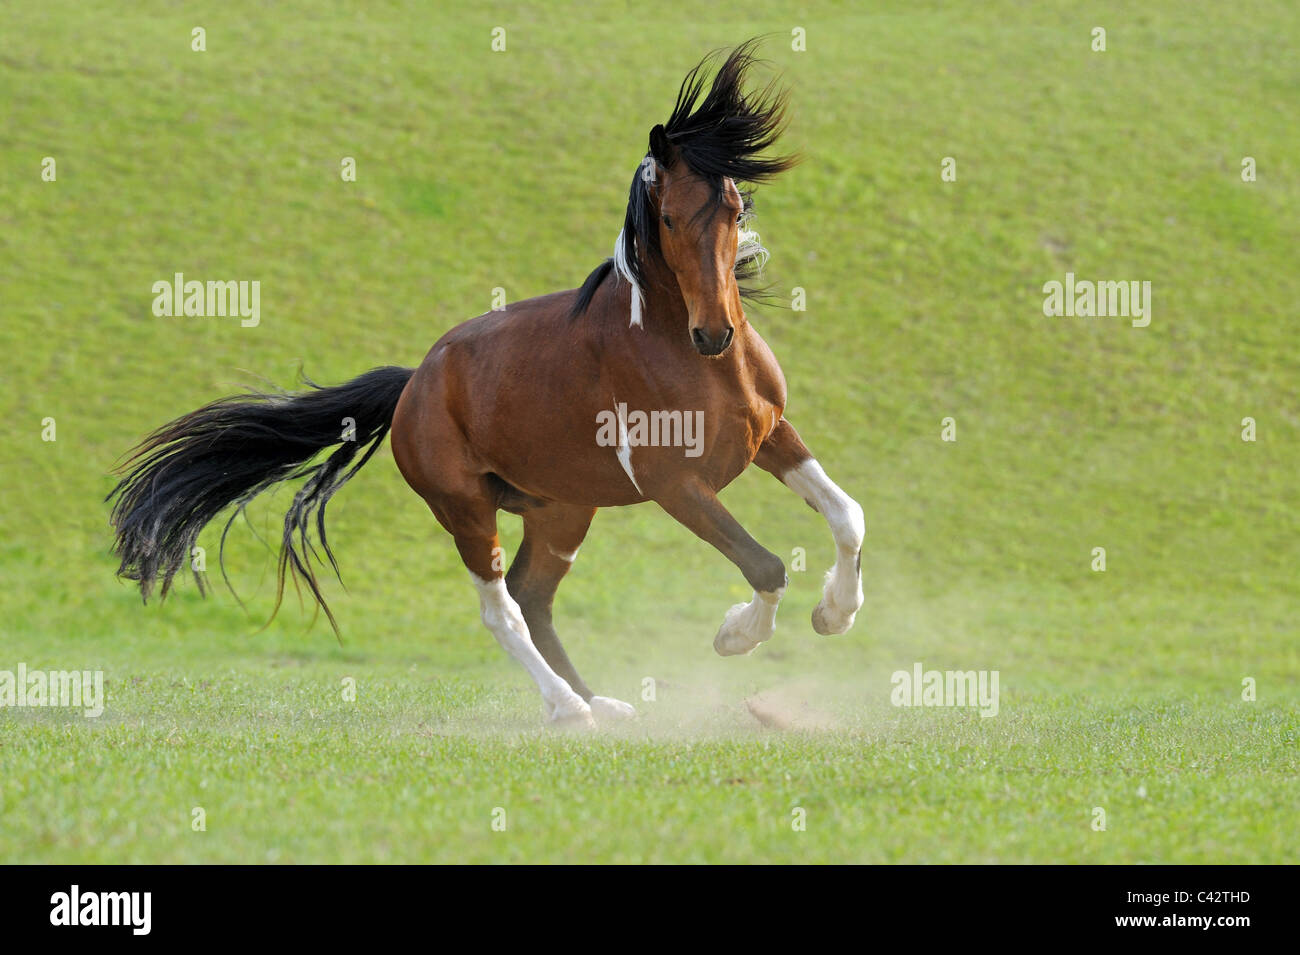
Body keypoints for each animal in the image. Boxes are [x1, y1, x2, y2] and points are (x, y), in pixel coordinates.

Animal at [108, 39, 865, 729]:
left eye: (736, 208)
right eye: (671, 218)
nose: (714, 333)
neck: (686, 356)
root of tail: (416, 382)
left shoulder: (772, 434)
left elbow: (846, 514)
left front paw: (835, 614)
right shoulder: (674, 483)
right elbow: (765, 566)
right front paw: (736, 634)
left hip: (562, 508)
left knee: (534, 597)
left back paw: (602, 703)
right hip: (467, 509)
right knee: (502, 610)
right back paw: (567, 709)